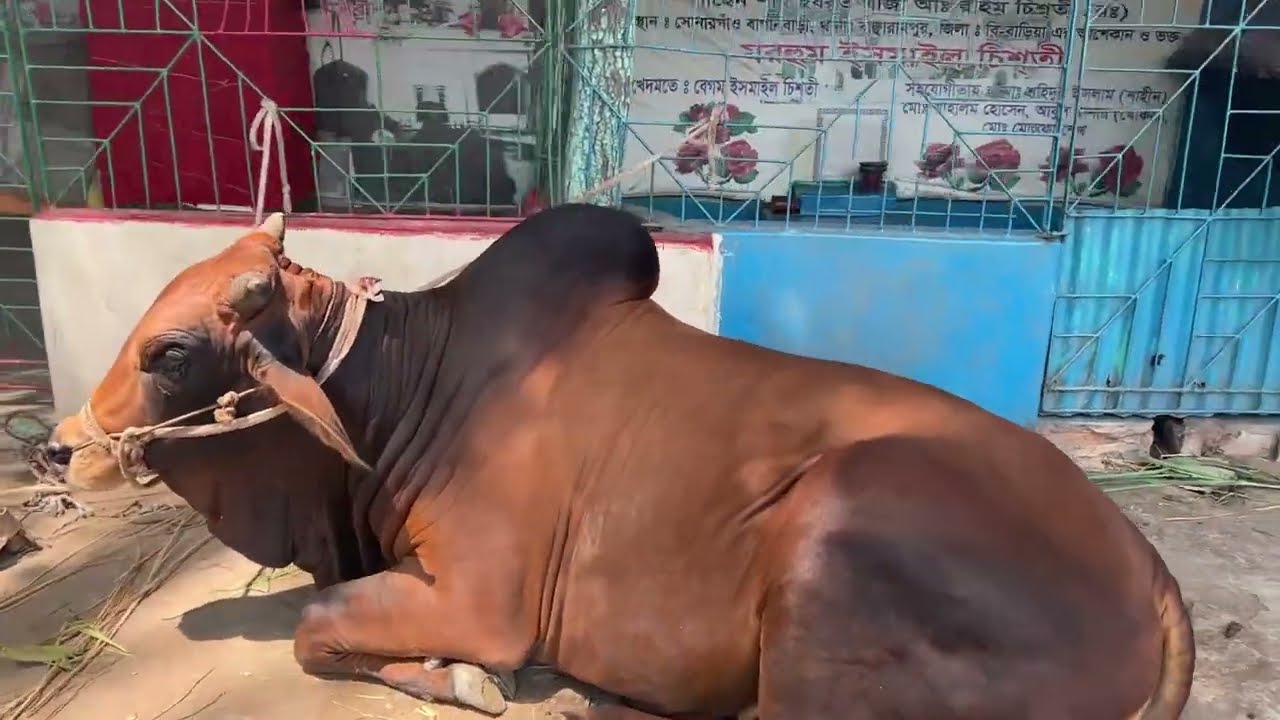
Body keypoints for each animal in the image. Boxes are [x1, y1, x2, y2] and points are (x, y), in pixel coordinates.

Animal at [44, 204, 1194, 720]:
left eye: (171, 351)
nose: (55, 449)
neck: (412, 386)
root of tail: (1150, 574)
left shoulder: (484, 598)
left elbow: (317, 629)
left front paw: (467, 678)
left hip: (841, 519)